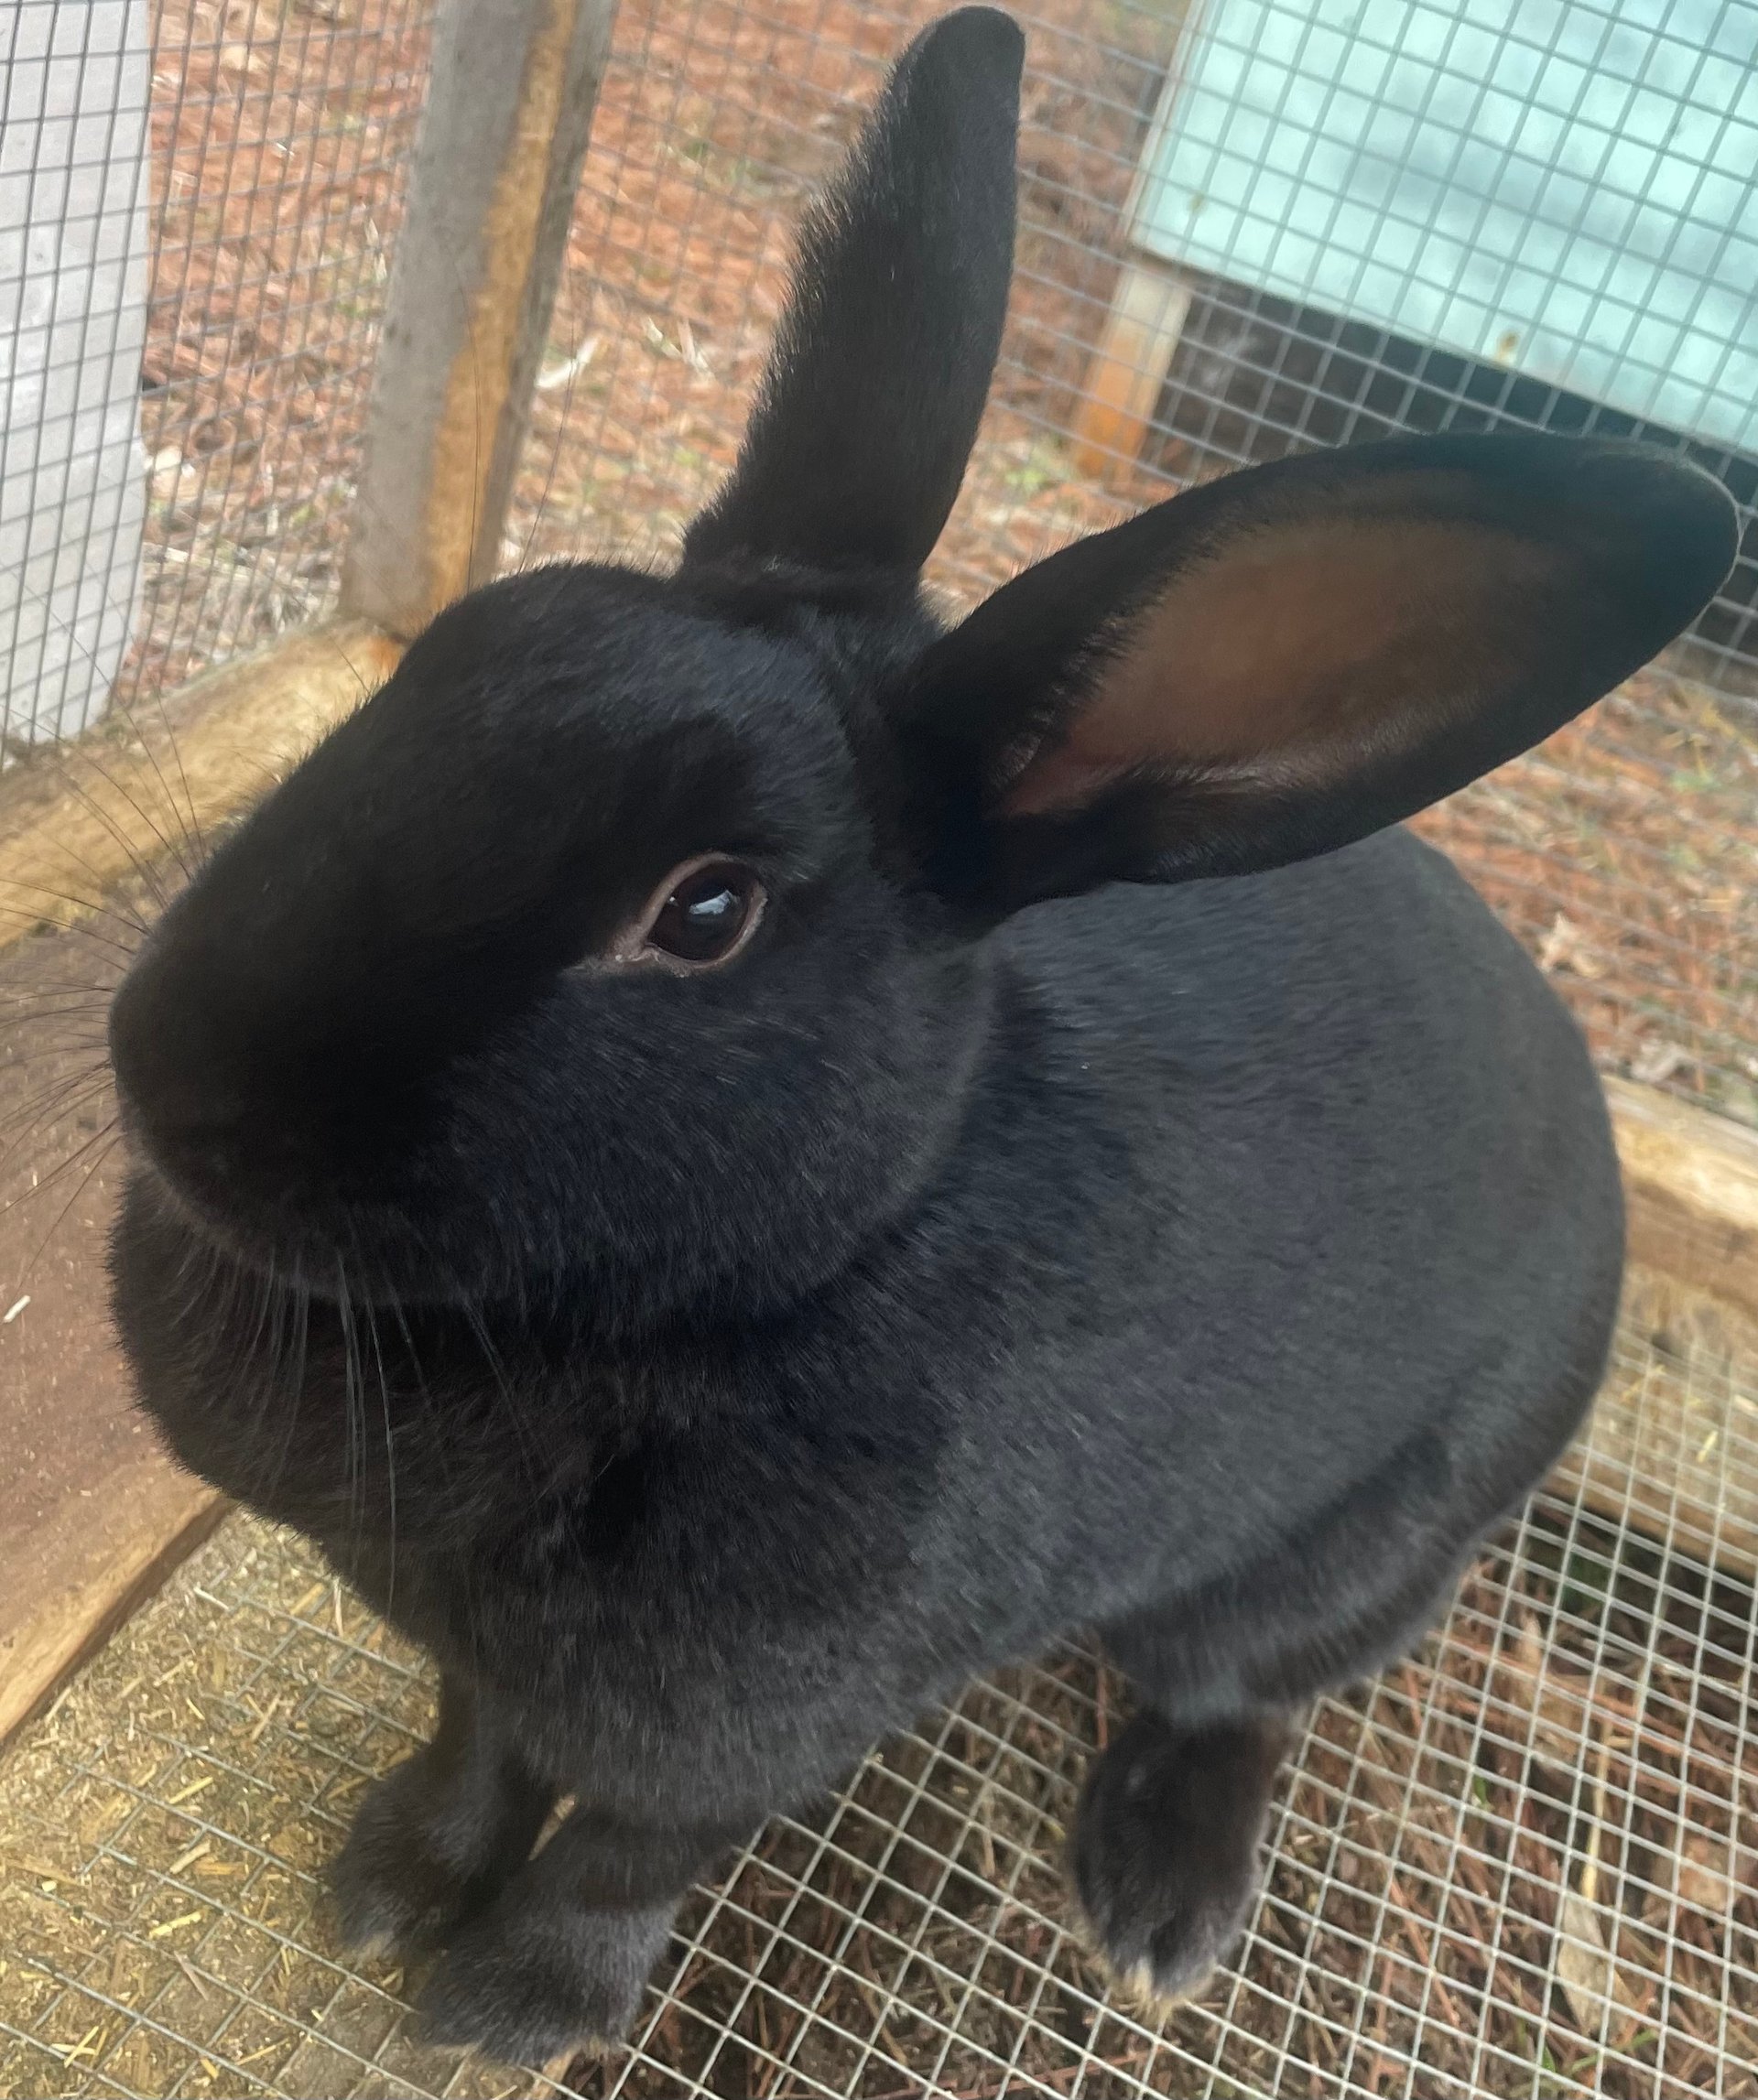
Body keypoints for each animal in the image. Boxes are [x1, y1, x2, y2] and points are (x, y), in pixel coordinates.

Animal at [105, 5, 1739, 2067]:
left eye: (705, 912)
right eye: (450, 660)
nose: (175, 1075)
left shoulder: (745, 1730)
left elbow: (622, 1855)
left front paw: (504, 2010)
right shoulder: (479, 1667)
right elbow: (471, 1747)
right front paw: (389, 1889)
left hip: (1349, 1554)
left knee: (1243, 1690)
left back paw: (1159, 1900)